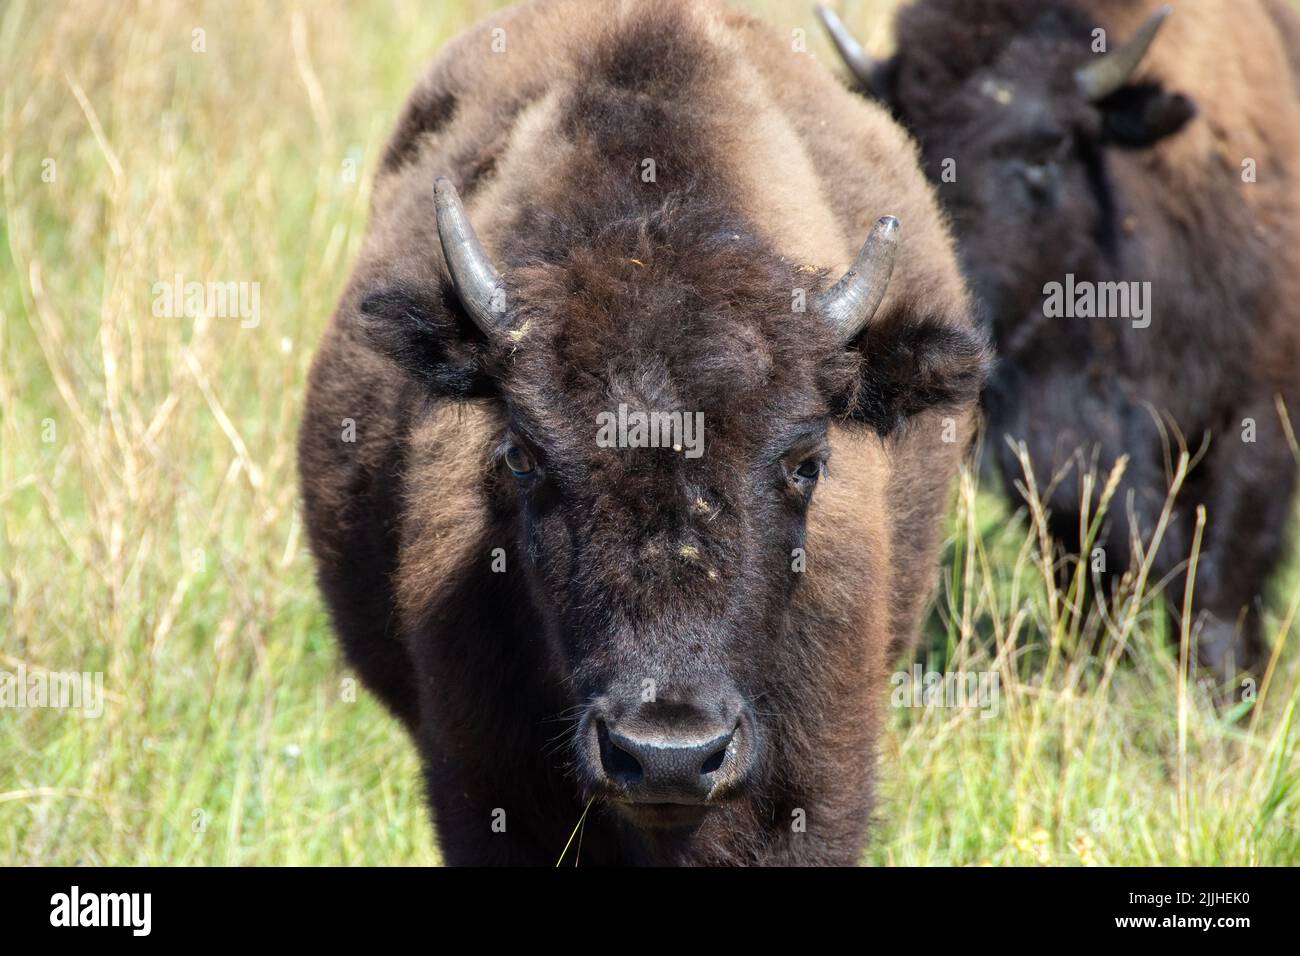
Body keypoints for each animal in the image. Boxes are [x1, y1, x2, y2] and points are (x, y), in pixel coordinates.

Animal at [820, 0, 1300, 681]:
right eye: (916, 150)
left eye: (1048, 151)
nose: (954, 293)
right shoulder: (1055, 455)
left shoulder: (1255, 415)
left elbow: (1224, 569)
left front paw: (1226, 682)